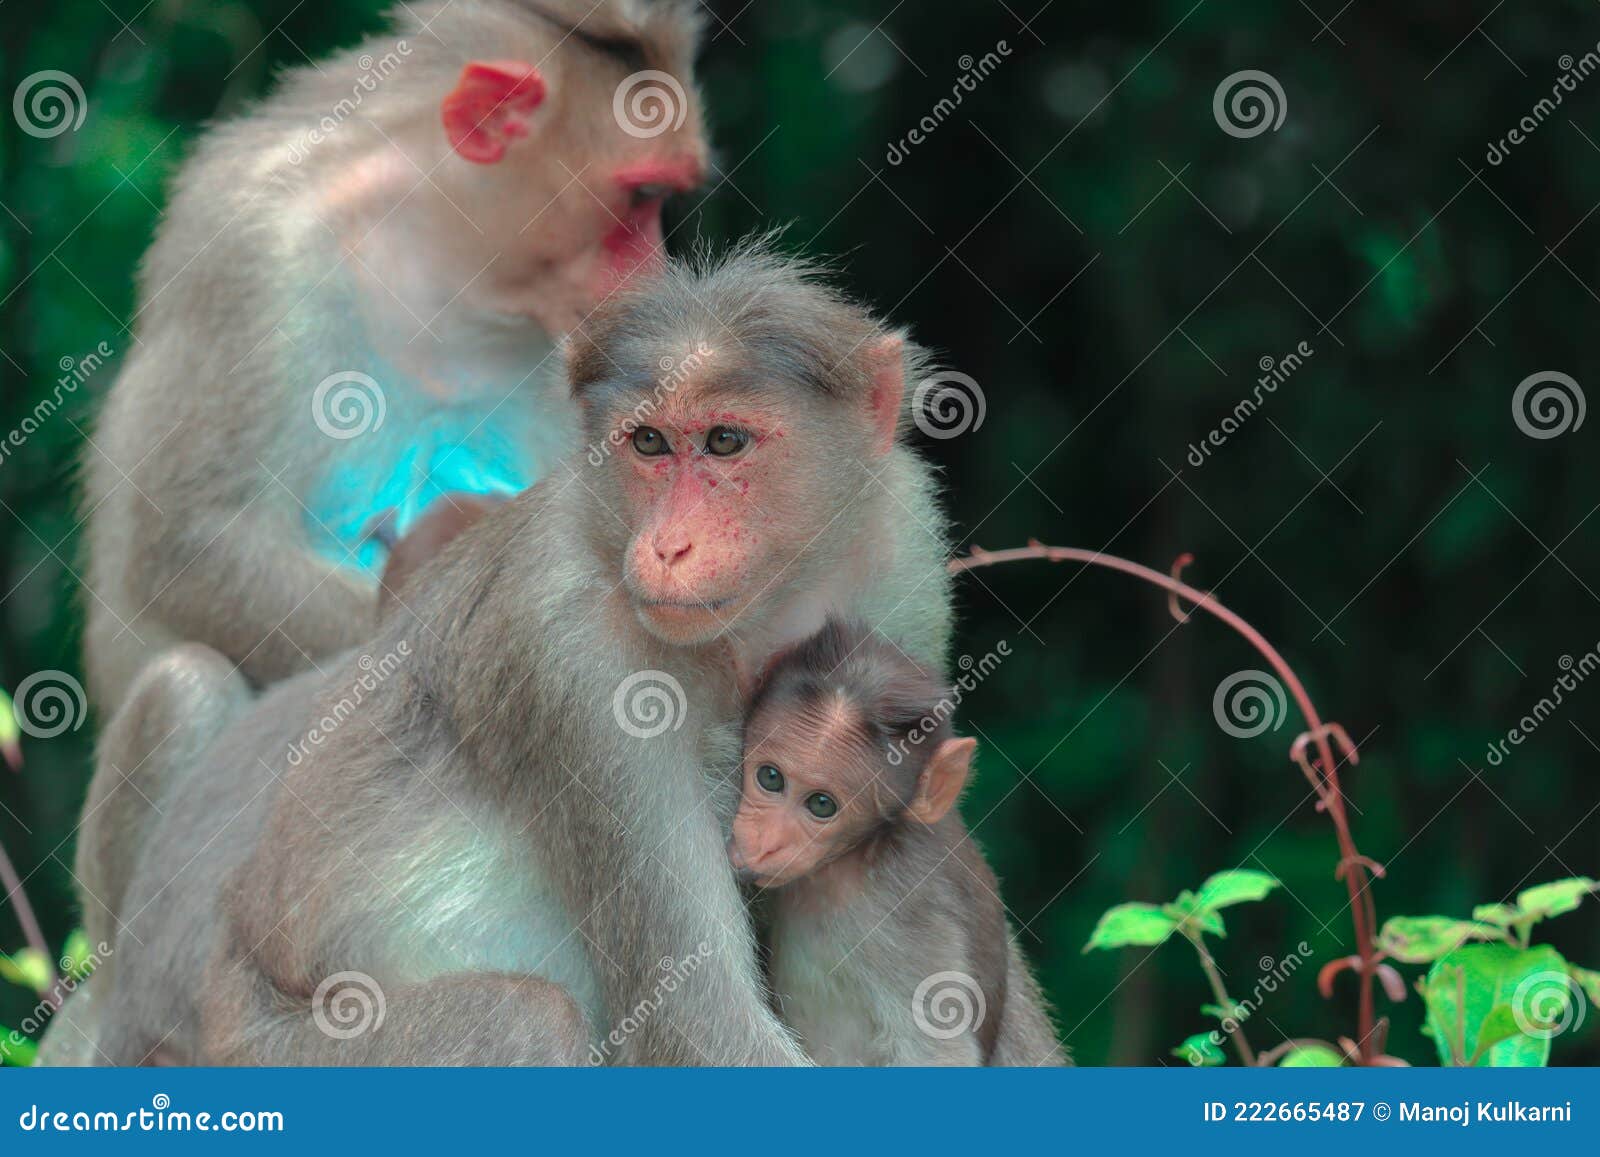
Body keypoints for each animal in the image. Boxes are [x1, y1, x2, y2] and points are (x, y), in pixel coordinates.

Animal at [41, 243, 1007, 1067]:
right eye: (648, 443)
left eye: (726, 440)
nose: (669, 548)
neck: (762, 621)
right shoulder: (575, 666)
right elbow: (695, 1022)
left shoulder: (899, 555)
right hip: (269, 1054)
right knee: (522, 1019)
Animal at [82, 0, 711, 714]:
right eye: (641, 196)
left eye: (663, 197)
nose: (655, 272)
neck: (438, 251)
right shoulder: (252, 254)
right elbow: (196, 543)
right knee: (190, 674)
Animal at [728, 618, 1065, 1065]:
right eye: (770, 777)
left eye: (821, 804)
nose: (765, 842)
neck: (858, 855)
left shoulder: (904, 916)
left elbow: (937, 1051)